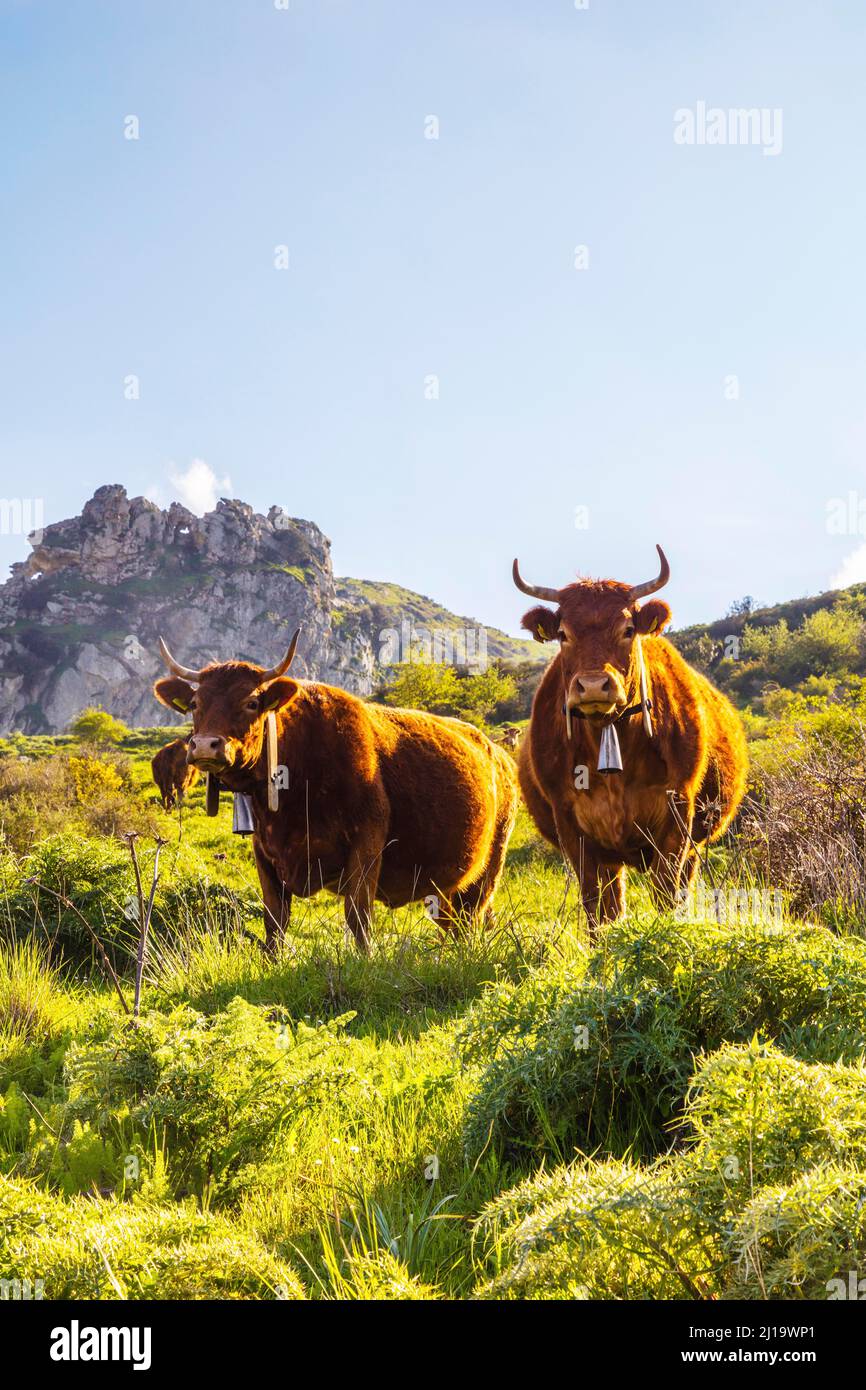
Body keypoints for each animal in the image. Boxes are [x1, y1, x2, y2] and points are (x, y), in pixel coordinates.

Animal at [152, 631, 518, 952]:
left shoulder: (367, 843)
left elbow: (358, 916)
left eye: (252, 702)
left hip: (486, 872)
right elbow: (275, 922)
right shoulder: (264, 853)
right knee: (456, 923)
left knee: (470, 920)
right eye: (195, 703)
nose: (205, 746)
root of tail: (499, 755)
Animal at [512, 546, 748, 935]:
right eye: (563, 633)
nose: (594, 685)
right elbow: (596, 907)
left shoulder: (677, 816)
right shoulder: (572, 826)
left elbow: (667, 895)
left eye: (627, 629)